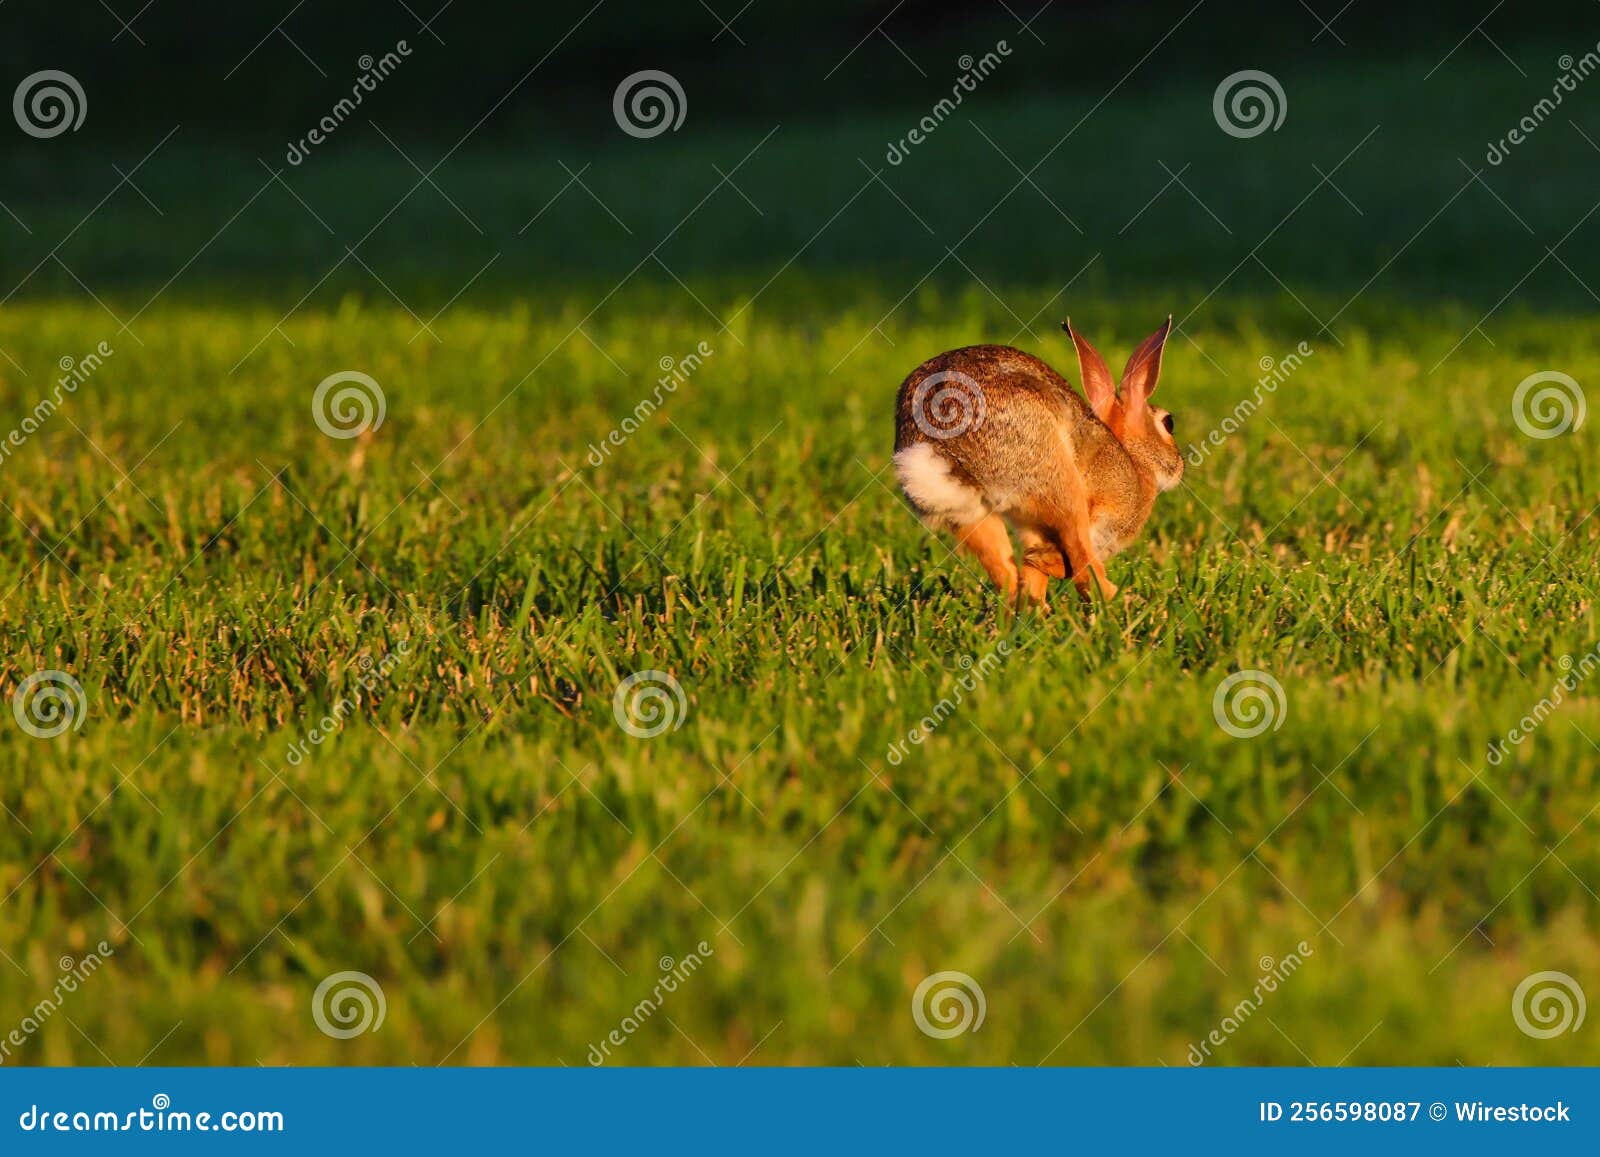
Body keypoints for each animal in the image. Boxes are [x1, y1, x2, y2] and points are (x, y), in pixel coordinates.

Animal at [893, 317, 1182, 609]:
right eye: (1168, 423)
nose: (1180, 468)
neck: (1132, 458)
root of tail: (938, 446)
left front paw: (1038, 565)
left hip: (972, 514)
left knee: (1007, 574)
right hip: (1060, 482)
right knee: (1082, 567)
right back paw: (1122, 600)